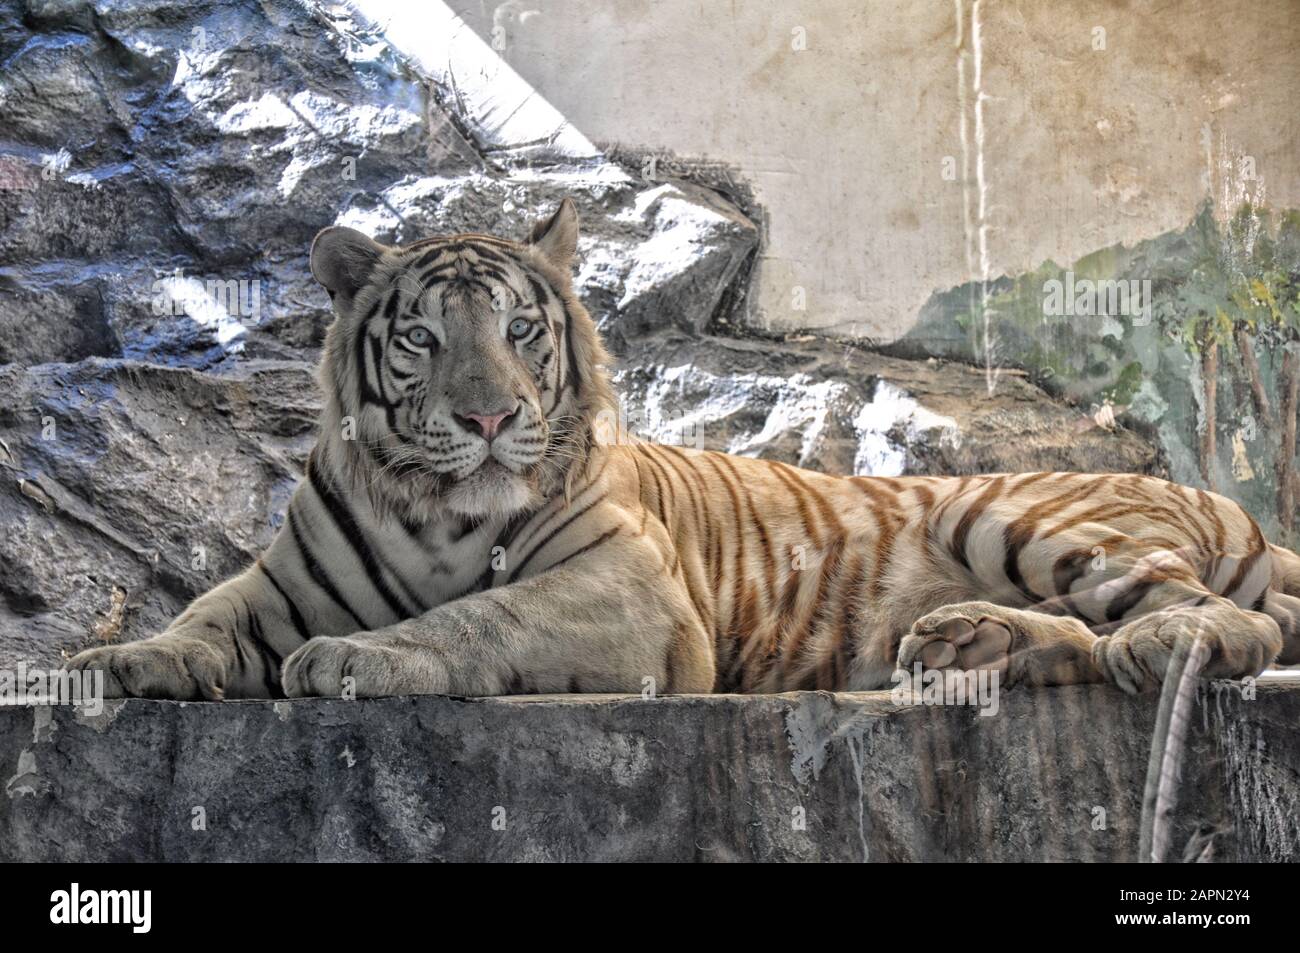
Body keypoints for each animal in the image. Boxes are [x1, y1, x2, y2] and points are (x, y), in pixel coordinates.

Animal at [65, 198, 1300, 701]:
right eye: (422, 337)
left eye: (520, 329)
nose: (490, 419)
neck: (437, 512)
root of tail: (1230, 504)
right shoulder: (277, 582)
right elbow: (202, 616)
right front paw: (116, 659)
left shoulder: (633, 591)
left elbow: (481, 616)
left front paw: (362, 658)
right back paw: (968, 642)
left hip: (1014, 515)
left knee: (1211, 623)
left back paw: (1152, 639)